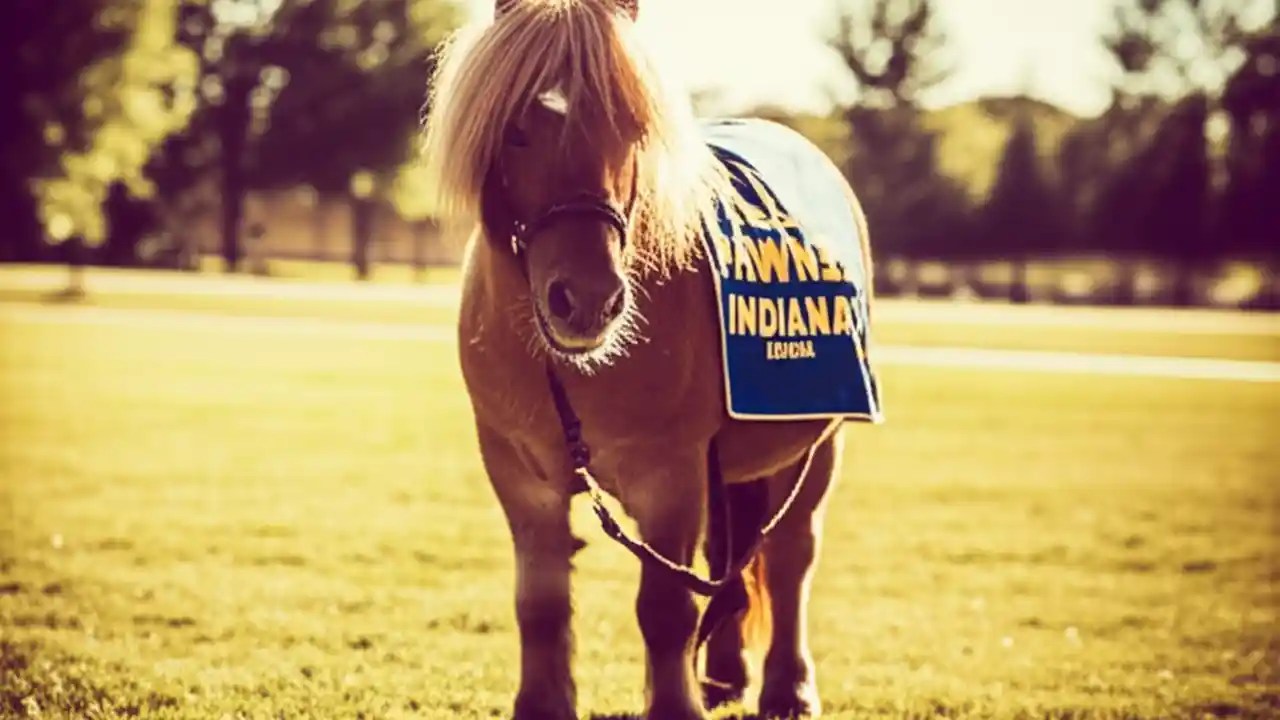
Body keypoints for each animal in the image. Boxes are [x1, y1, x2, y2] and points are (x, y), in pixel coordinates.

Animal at [421, 1, 880, 718]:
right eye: (517, 128)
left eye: (631, 128)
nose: (588, 300)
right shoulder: (518, 473)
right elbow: (541, 605)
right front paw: (544, 702)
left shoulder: (671, 476)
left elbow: (665, 607)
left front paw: (675, 702)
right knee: (733, 551)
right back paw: (725, 673)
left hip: (818, 443)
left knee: (790, 556)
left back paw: (787, 687)